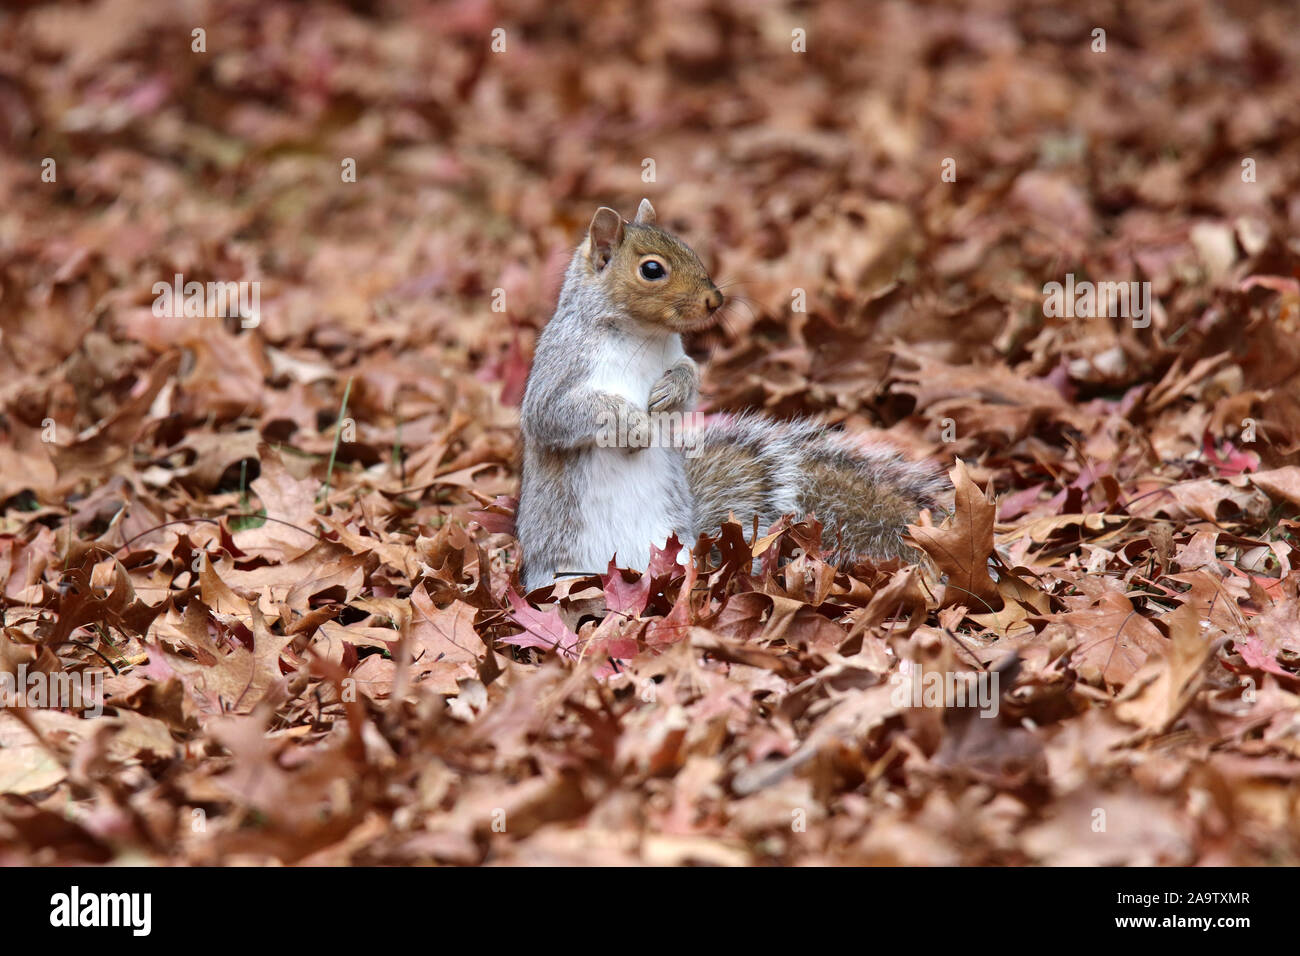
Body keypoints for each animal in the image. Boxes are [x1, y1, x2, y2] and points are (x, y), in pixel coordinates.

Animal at [516, 199, 946, 593]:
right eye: (651, 269)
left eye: (689, 248)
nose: (715, 300)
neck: (639, 334)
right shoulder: (562, 367)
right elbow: (554, 413)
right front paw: (632, 423)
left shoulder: (676, 358)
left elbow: (688, 384)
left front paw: (672, 388)